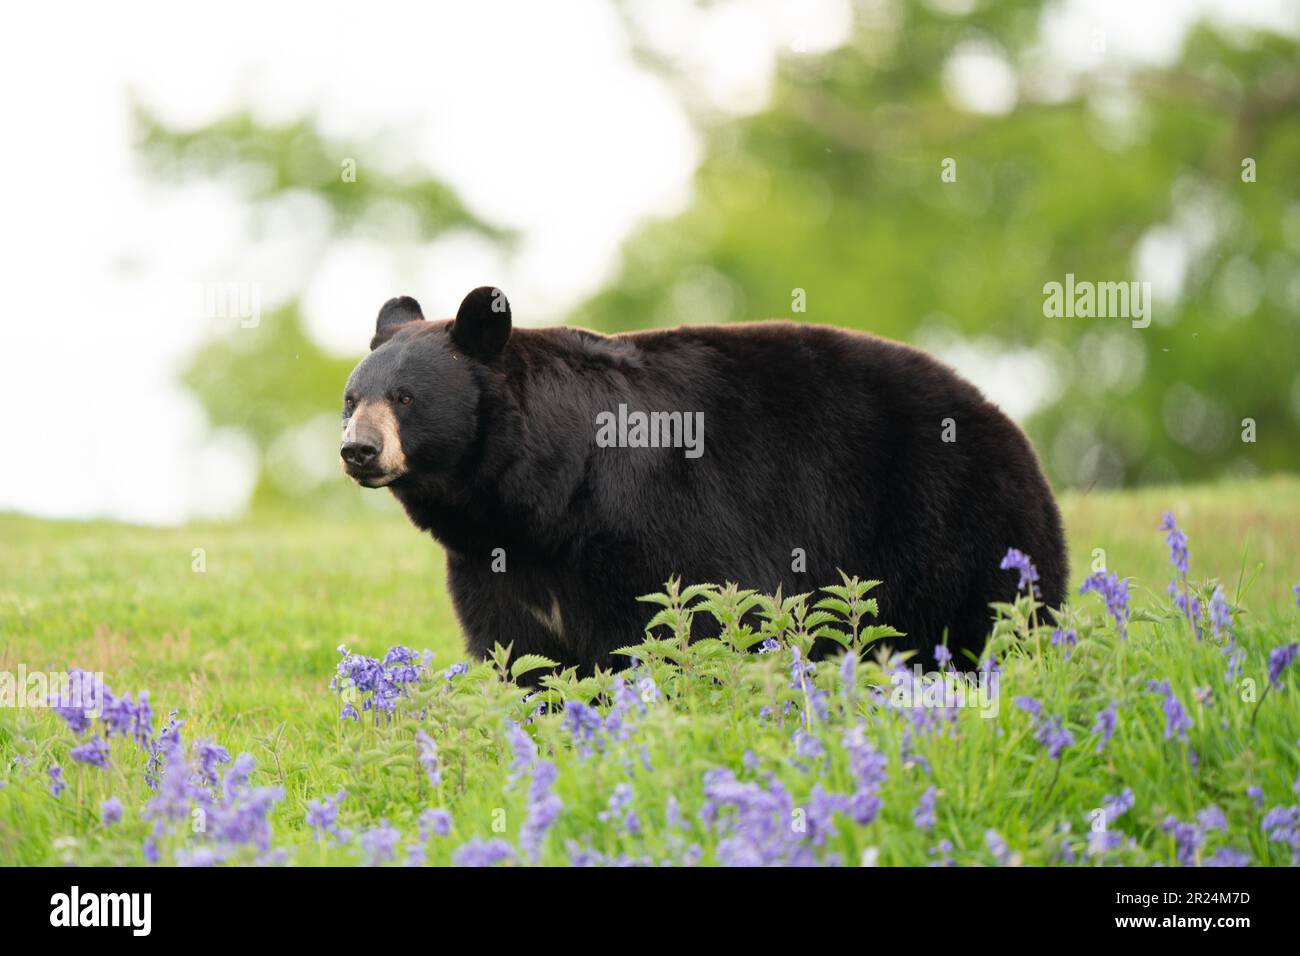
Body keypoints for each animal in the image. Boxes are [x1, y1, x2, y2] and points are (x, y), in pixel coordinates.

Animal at [340, 286, 1067, 674]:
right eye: (352, 398)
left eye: (405, 397)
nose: (358, 449)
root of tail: (1009, 427)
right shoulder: (495, 566)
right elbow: (524, 656)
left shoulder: (653, 519)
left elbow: (682, 625)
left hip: (952, 520)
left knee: (984, 619)